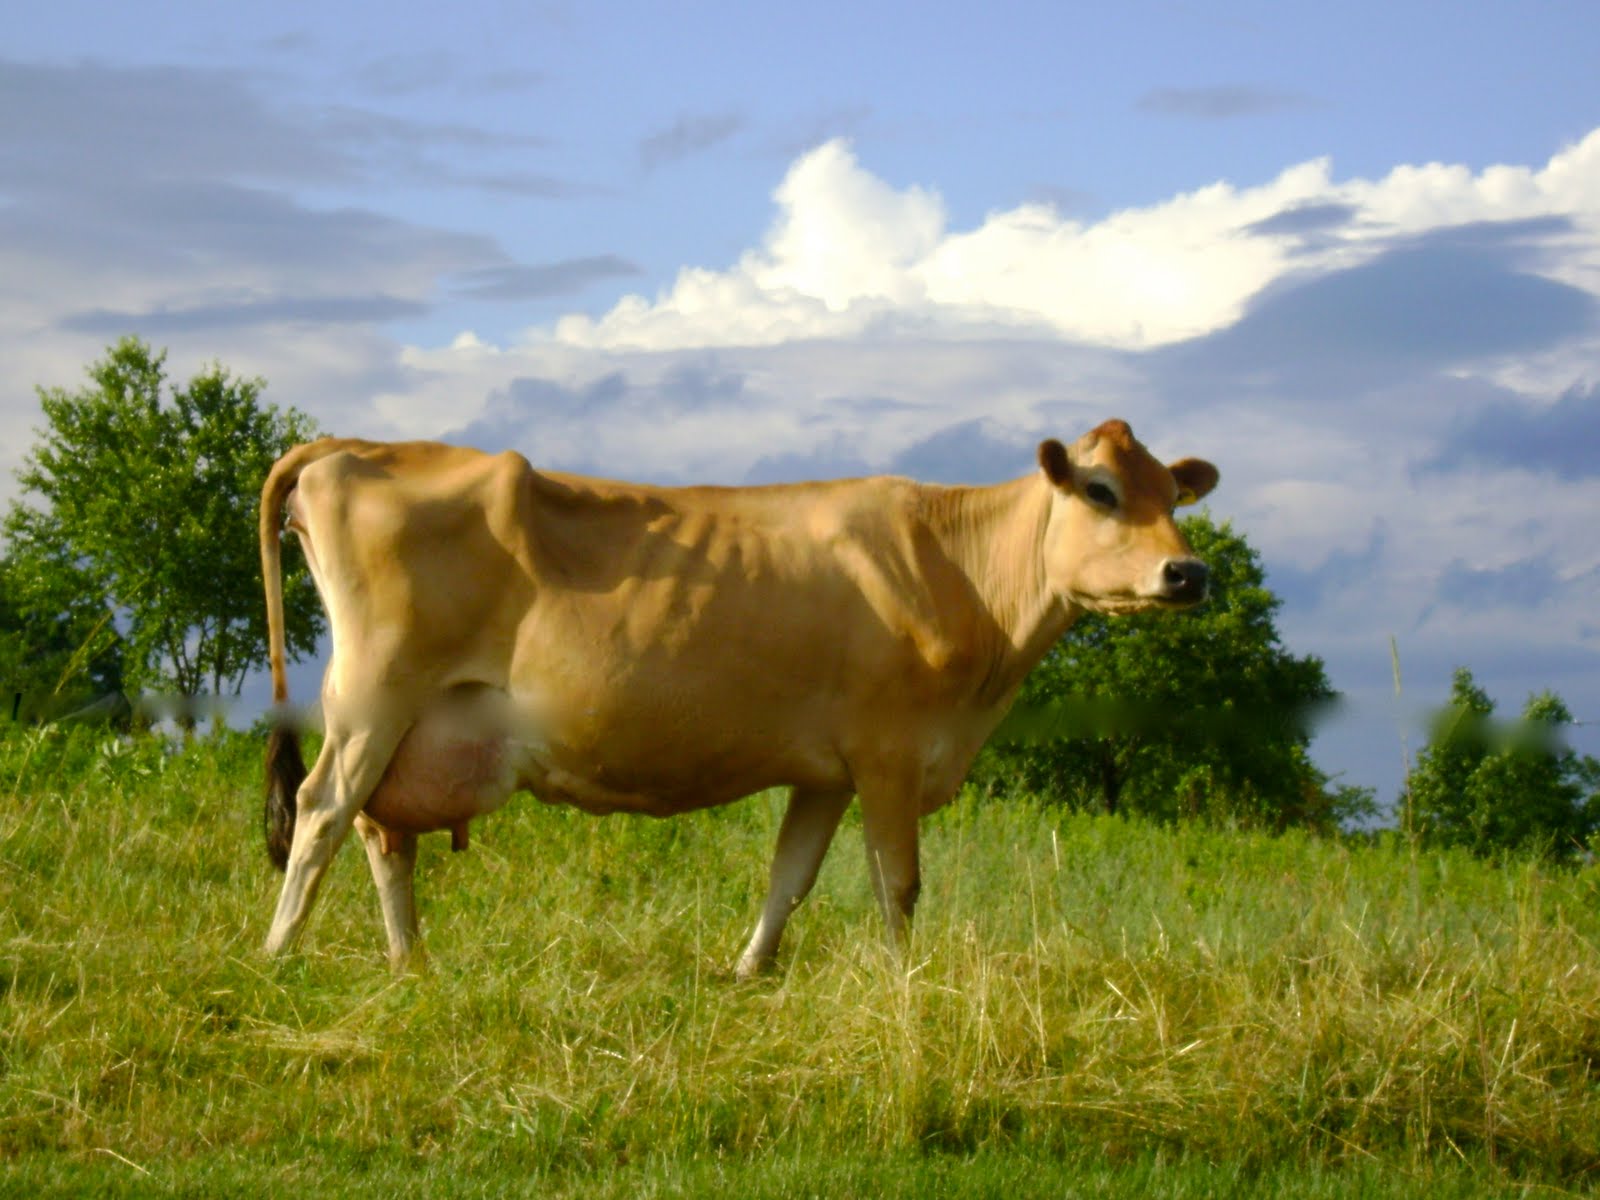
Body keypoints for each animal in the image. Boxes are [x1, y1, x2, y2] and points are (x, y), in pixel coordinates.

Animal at [259, 419, 1218, 974]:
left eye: (1174, 494)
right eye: (1100, 490)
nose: (1189, 572)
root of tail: (354, 445)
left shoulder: (827, 772)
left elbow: (790, 877)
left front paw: (749, 970)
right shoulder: (890, 754)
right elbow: (899, 884)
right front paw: (904, 985)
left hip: (415, 724)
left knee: (383, 833)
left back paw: (410, 964)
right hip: (375, 693)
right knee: (323, 810)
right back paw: (276, 953)